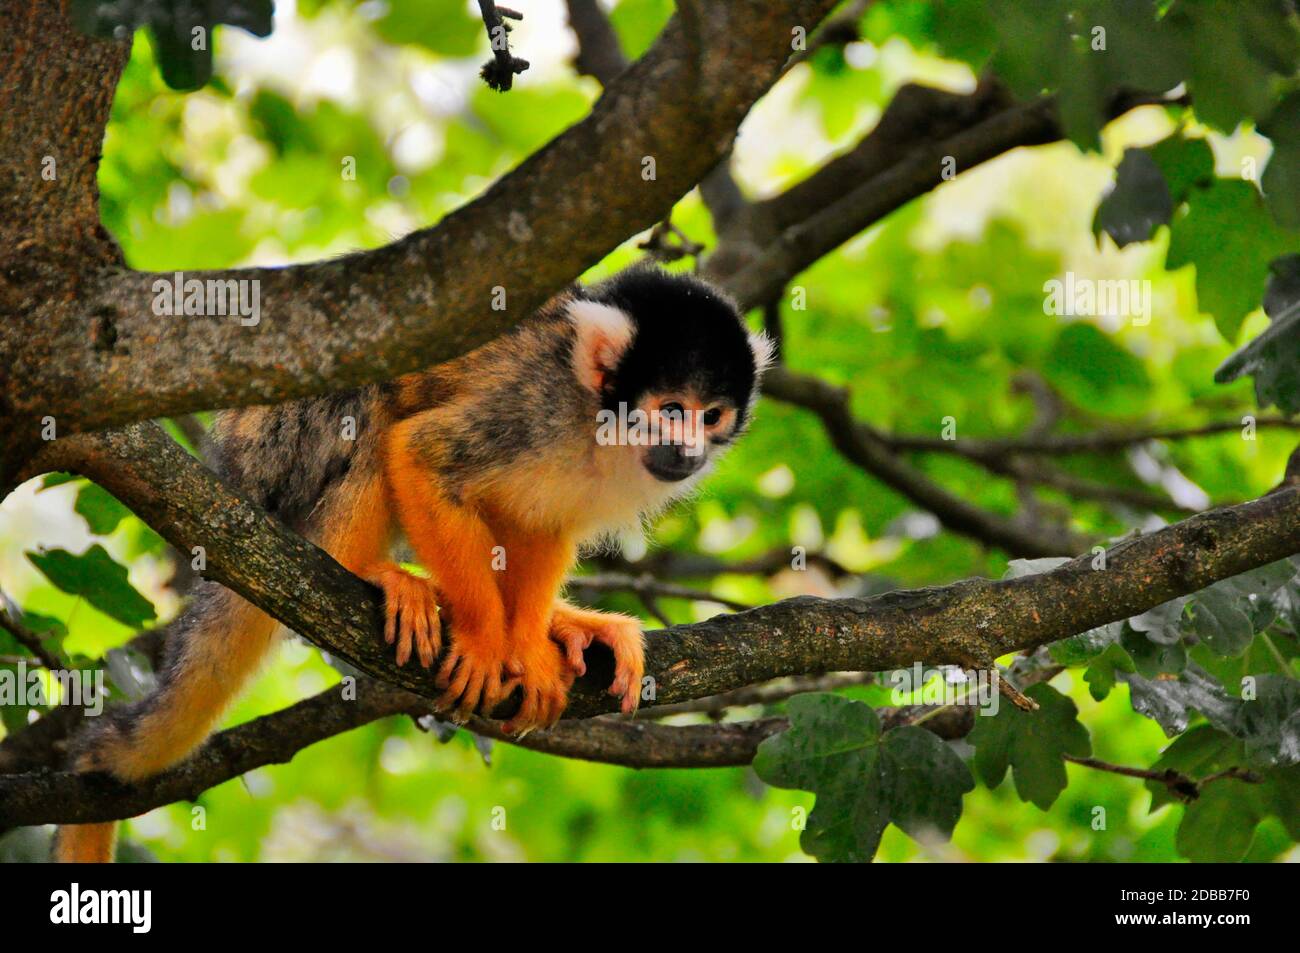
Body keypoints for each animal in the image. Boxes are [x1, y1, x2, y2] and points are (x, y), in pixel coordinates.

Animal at [52, 265, 773, 862]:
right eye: (672, 410)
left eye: (711, 416)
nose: (690, 449)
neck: (596, 419)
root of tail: (234, 480)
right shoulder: (528, 407)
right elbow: (421, 453)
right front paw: (485, 638)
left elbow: (536, 524)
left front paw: (530, 637)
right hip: (278, 461)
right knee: (366, 408)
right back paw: (365, 566)